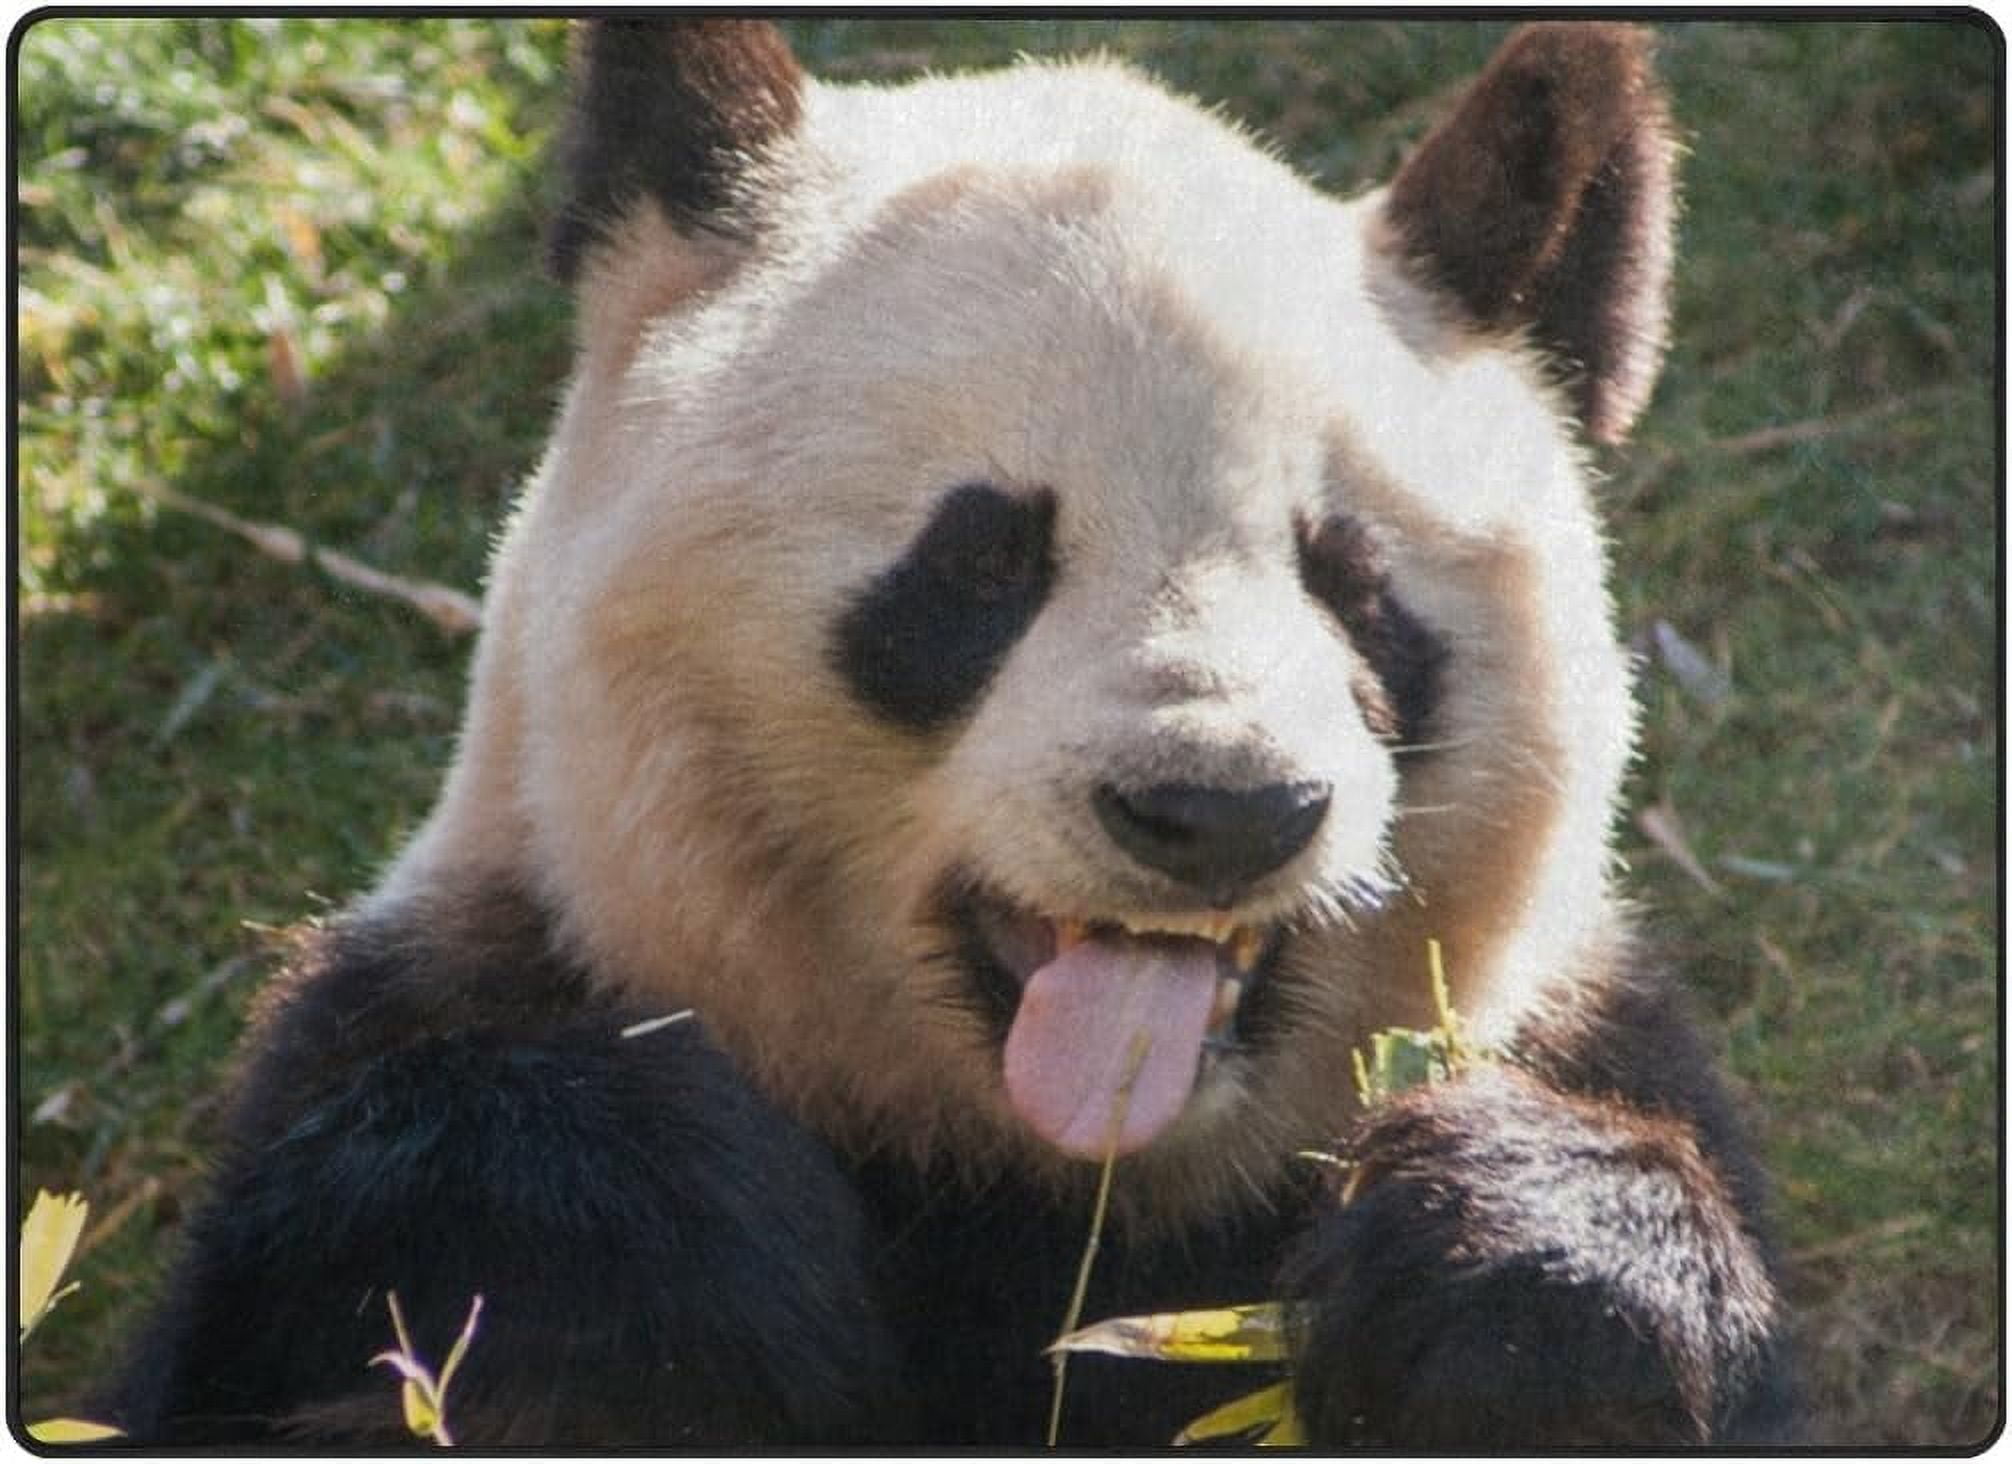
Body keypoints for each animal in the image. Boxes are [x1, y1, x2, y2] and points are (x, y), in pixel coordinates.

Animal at [107, 19, 1794, 1447]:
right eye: (983, 559)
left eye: (1353, 581)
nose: (1218, 811)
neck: (1047, 1193)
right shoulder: (422, 1031)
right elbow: (458, 1242)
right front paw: (687, 1234)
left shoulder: (1590, 1039)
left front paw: (1511, 1266)